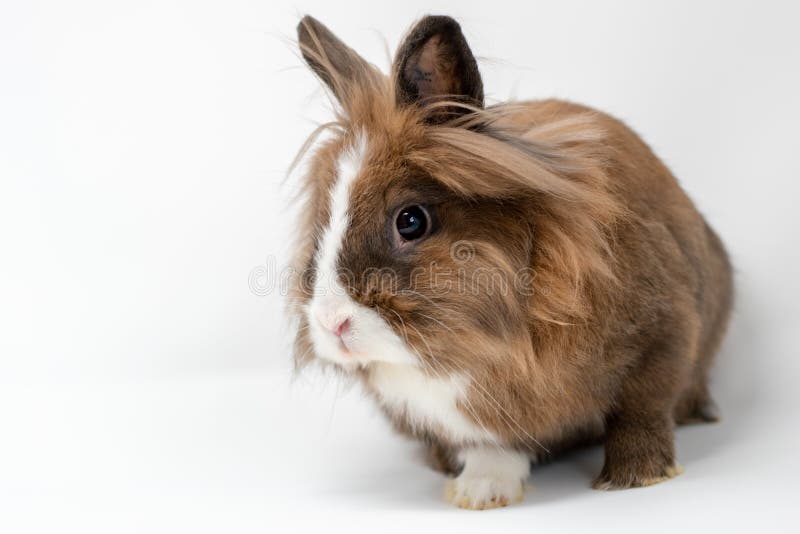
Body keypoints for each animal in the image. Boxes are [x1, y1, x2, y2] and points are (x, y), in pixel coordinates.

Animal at [288, 15, 733, 510]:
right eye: (322, 220)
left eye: (411, 220)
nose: (332, 323)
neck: (480, 347)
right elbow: (492, 445)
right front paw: (479, 492)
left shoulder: (664, 335)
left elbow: (641, 412)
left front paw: (636, 479)